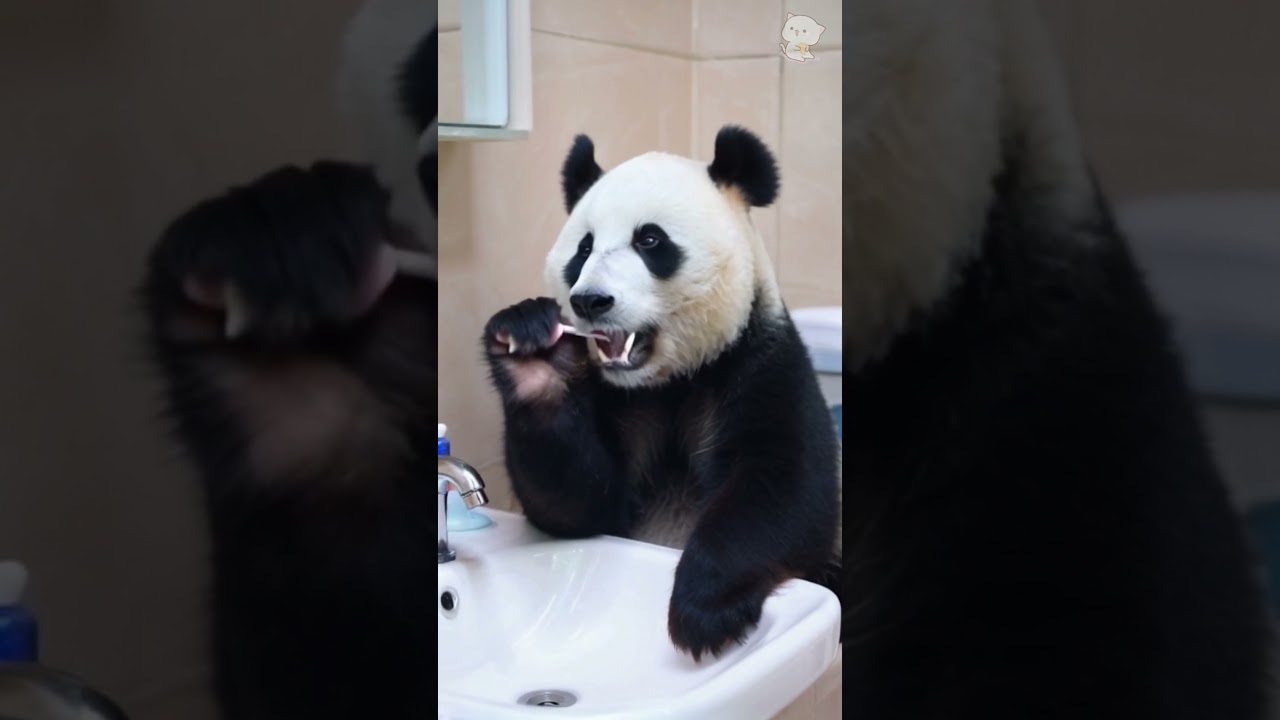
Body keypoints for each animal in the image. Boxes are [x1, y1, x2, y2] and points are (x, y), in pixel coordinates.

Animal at [481, 125, 841, 660]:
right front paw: (532, 351)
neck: (668, 378)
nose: (590, 301)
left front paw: (706, 612)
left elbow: (787, 488)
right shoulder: (613, 398)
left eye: (649, 239)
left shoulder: (760, 360)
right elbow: (582, 507)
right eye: (583, 249)